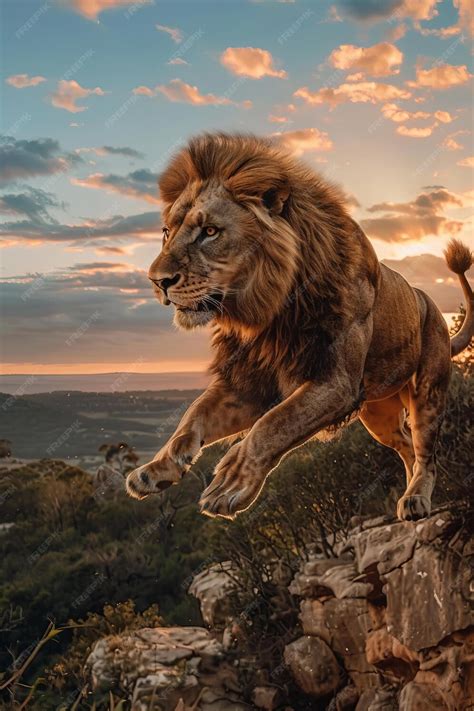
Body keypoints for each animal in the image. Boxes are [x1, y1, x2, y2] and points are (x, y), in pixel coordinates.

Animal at [126, 132, 473, 522]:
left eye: (210, 231)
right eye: (166, 232)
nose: (157, 281)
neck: (266, 313)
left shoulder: (335, 381)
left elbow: (274, 424)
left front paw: (230, 485)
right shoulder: (250, 382)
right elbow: (192, 418)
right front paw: (155, 470)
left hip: (428, 390)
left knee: (426, 452)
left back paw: (416, 499)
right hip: (377, 413)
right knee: (405, 447)